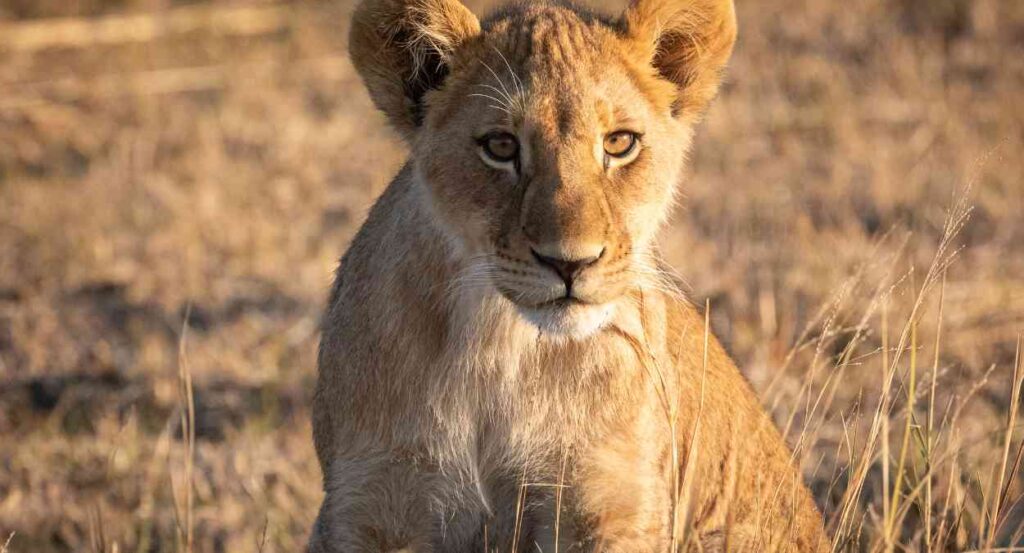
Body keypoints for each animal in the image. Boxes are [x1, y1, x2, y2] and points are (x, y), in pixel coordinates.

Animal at [308, 0, 830, 550]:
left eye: (619, 142)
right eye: (501, 146)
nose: (570, 263)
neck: (499, 351)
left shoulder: (612, 502)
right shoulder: (367, 500)